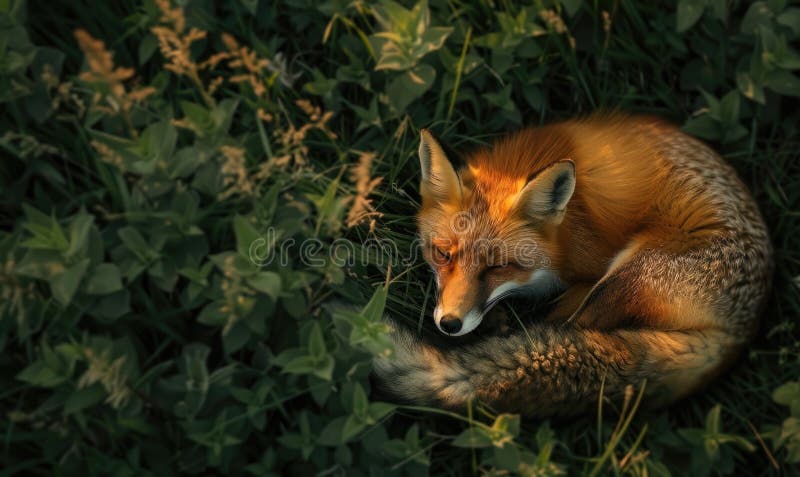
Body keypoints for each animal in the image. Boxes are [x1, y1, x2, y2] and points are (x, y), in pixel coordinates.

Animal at [373, 113, 773, 417]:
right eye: (443, 255)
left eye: (498, 267)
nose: (450, 324)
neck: (563, 236)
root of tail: (742, 331)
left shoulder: (590, 267)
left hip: (630, 273)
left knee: (573, 328)